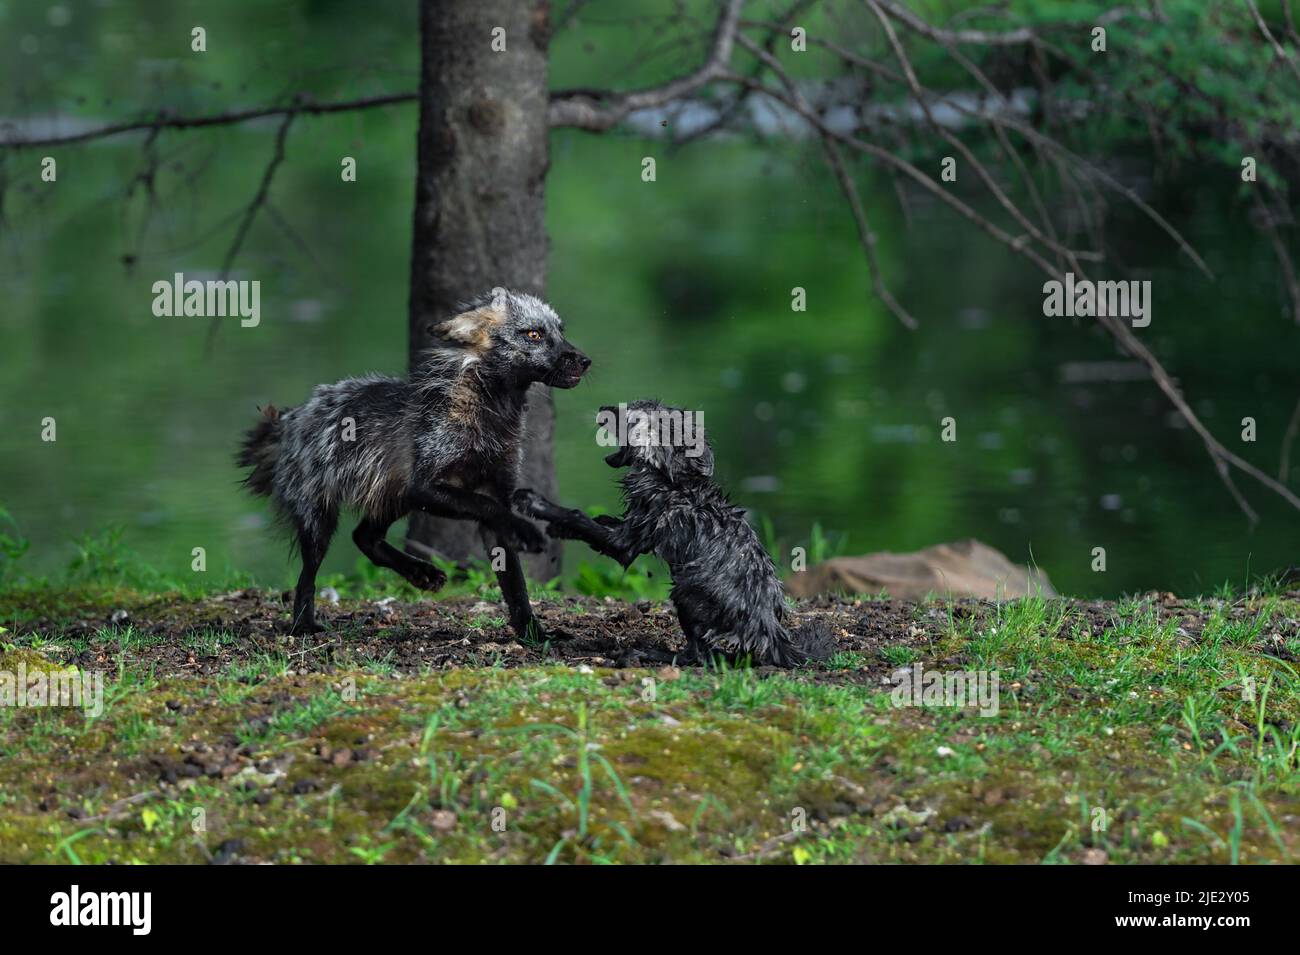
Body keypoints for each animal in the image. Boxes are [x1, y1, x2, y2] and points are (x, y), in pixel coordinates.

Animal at [237, 287, 590, 639]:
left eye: (561, 332)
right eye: (534, 334)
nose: (585, 361)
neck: (490, 418)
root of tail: (290, 417)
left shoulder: (491, 493)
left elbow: (517, 588)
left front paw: (534, 635)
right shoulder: (425, 488)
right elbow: (488, 508)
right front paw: (526, 531)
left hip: (393, 499)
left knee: (363, 537)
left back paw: (421, 573)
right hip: (322, 522)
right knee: (307, 578)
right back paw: (303, 626)